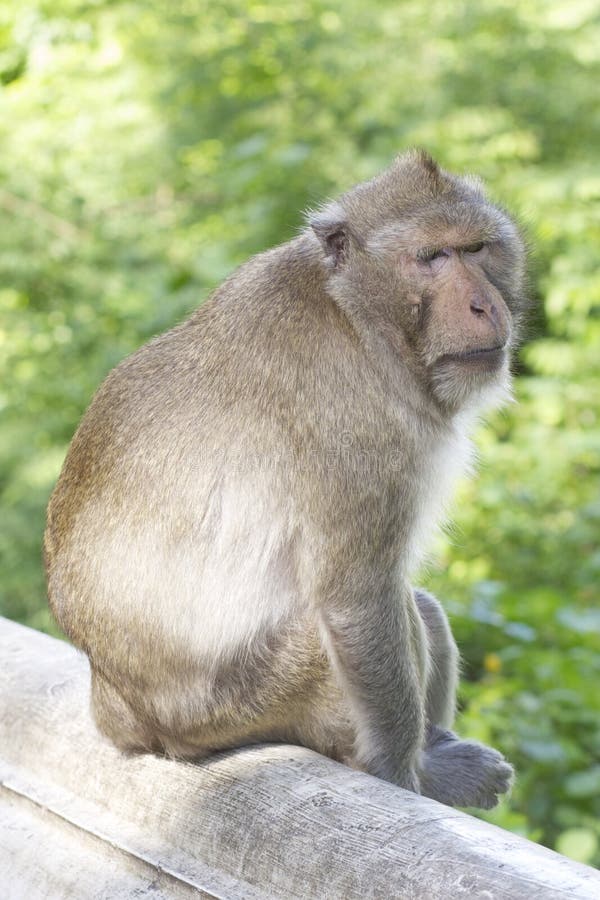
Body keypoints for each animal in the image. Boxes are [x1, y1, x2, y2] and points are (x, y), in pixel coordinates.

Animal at [45, 150, 525, 809]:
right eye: (431, 257)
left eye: (477, 249)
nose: (483, 304)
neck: (356, 317)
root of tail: (119, 710)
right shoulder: (360, 432)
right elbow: (356, 599)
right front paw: (399, 776)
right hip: (252, 703)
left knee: (419, 604)